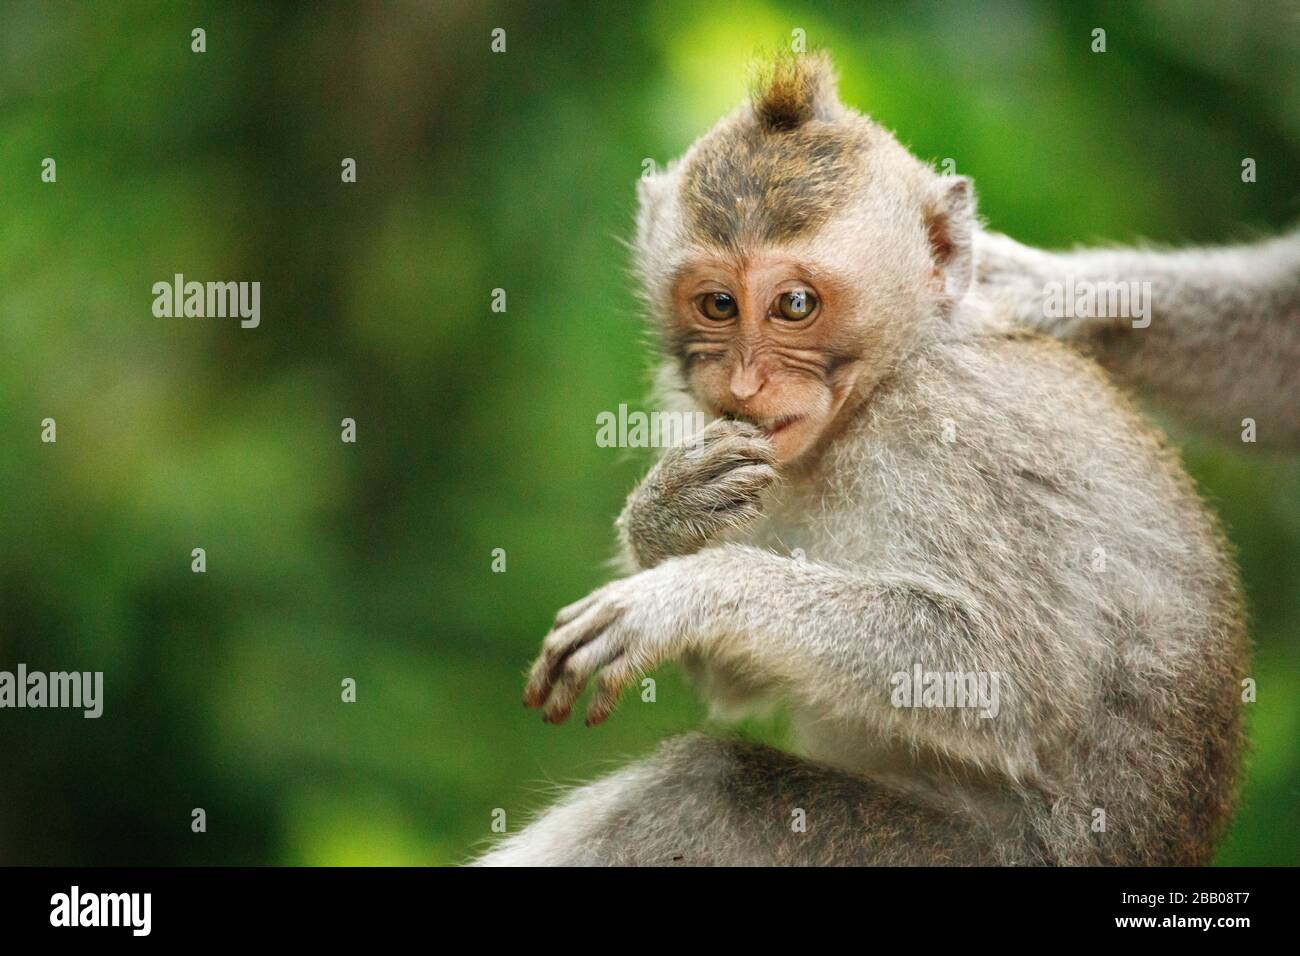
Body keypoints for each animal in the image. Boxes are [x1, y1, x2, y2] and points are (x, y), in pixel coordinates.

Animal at [474, 52, 1248, 866]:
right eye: (718, 305)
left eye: (796, 305)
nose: (743, 385)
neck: (879, 391)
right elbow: (732, 675)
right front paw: (666, 516)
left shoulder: (959, 435)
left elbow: (1006, 678)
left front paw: (688, 593)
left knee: (703, 790)